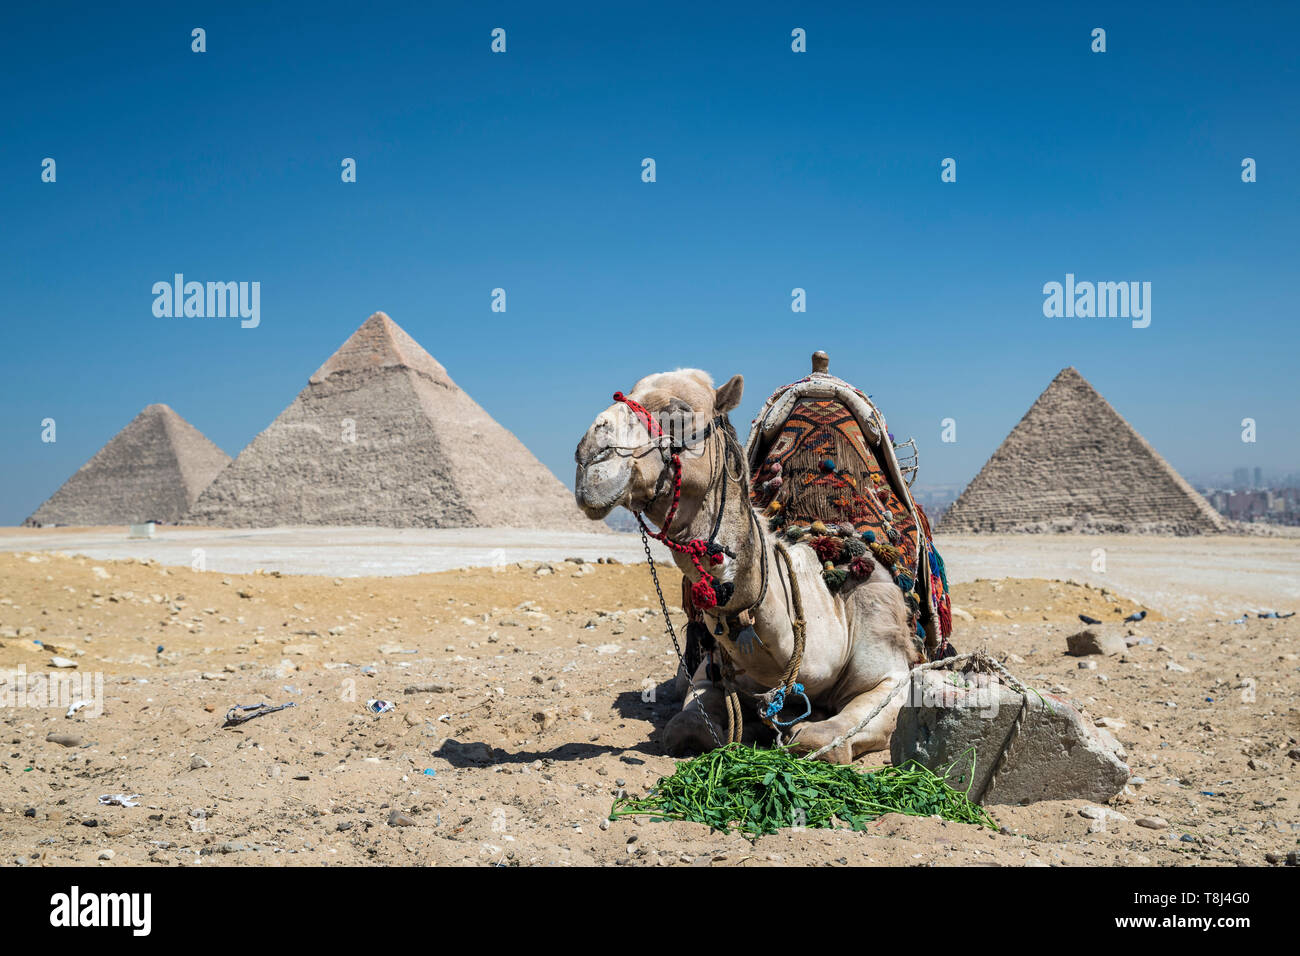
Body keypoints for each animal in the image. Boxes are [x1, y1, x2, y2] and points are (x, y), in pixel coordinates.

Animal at [573, 368, 923, 763]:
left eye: (679, 412)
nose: (589, 457)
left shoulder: (891, 671)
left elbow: (818, 740)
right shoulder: (710, 673)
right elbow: (686, 726)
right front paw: (753, 727)